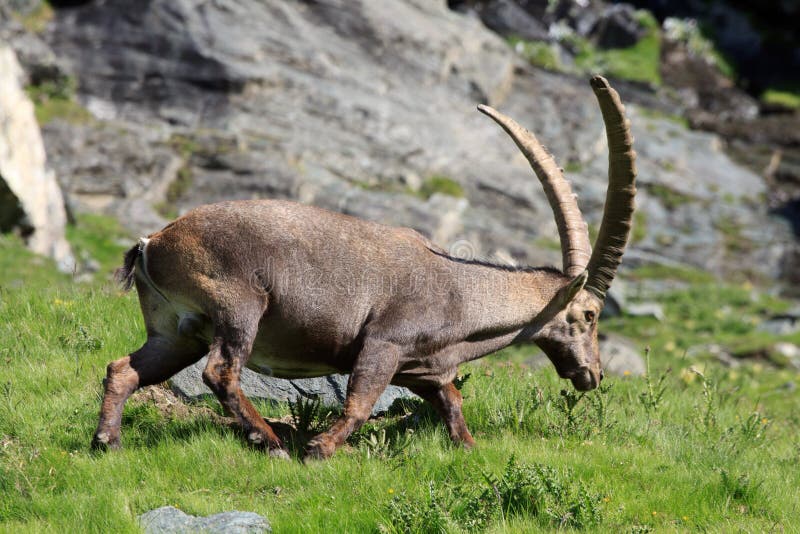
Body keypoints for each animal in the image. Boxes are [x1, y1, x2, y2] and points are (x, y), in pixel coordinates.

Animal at [92, 76, 636, 460]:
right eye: (589, 316)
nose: (592, 375)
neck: (463, 296)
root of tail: (153, 242)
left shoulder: (425, 369)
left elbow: (453, 406)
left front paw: (469, 449)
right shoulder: (384, 342)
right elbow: (359, 402)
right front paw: (319, 449)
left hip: (176, 331)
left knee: (125, 368)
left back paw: (107, 441)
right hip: (238, 307)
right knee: (220, 371)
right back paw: (271, 442)